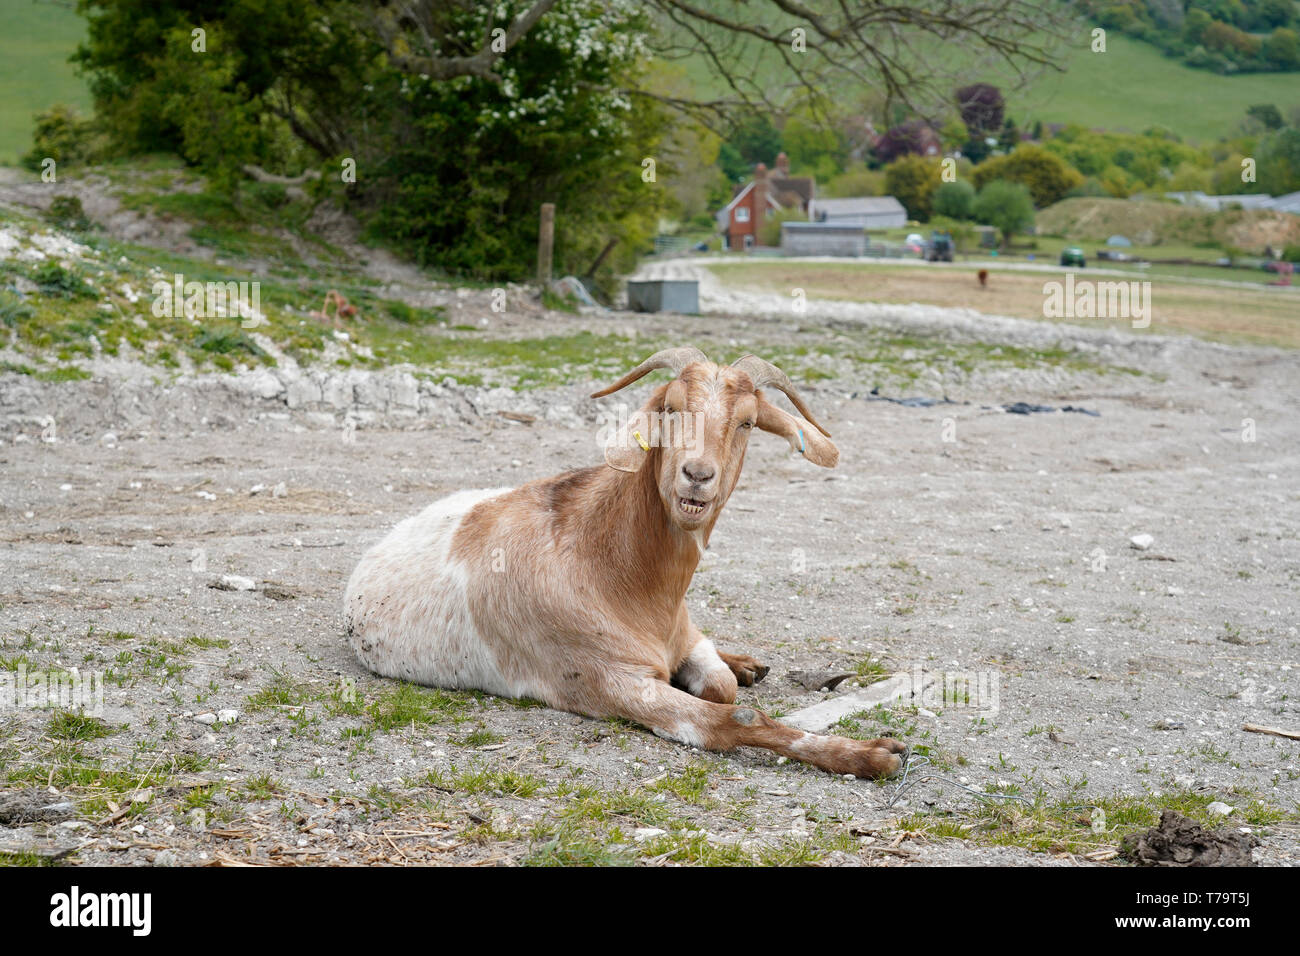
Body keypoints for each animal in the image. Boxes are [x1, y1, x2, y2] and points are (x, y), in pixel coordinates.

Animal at [343, 348, 905, 778]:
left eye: (747, 421)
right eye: (671, 409)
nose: (696, 475)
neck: (616, 573)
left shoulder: (685, 637)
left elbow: (720, 685)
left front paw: (734, 670)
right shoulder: (609, 681)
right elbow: (734, 717)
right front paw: (873, 754)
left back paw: (748, 663)